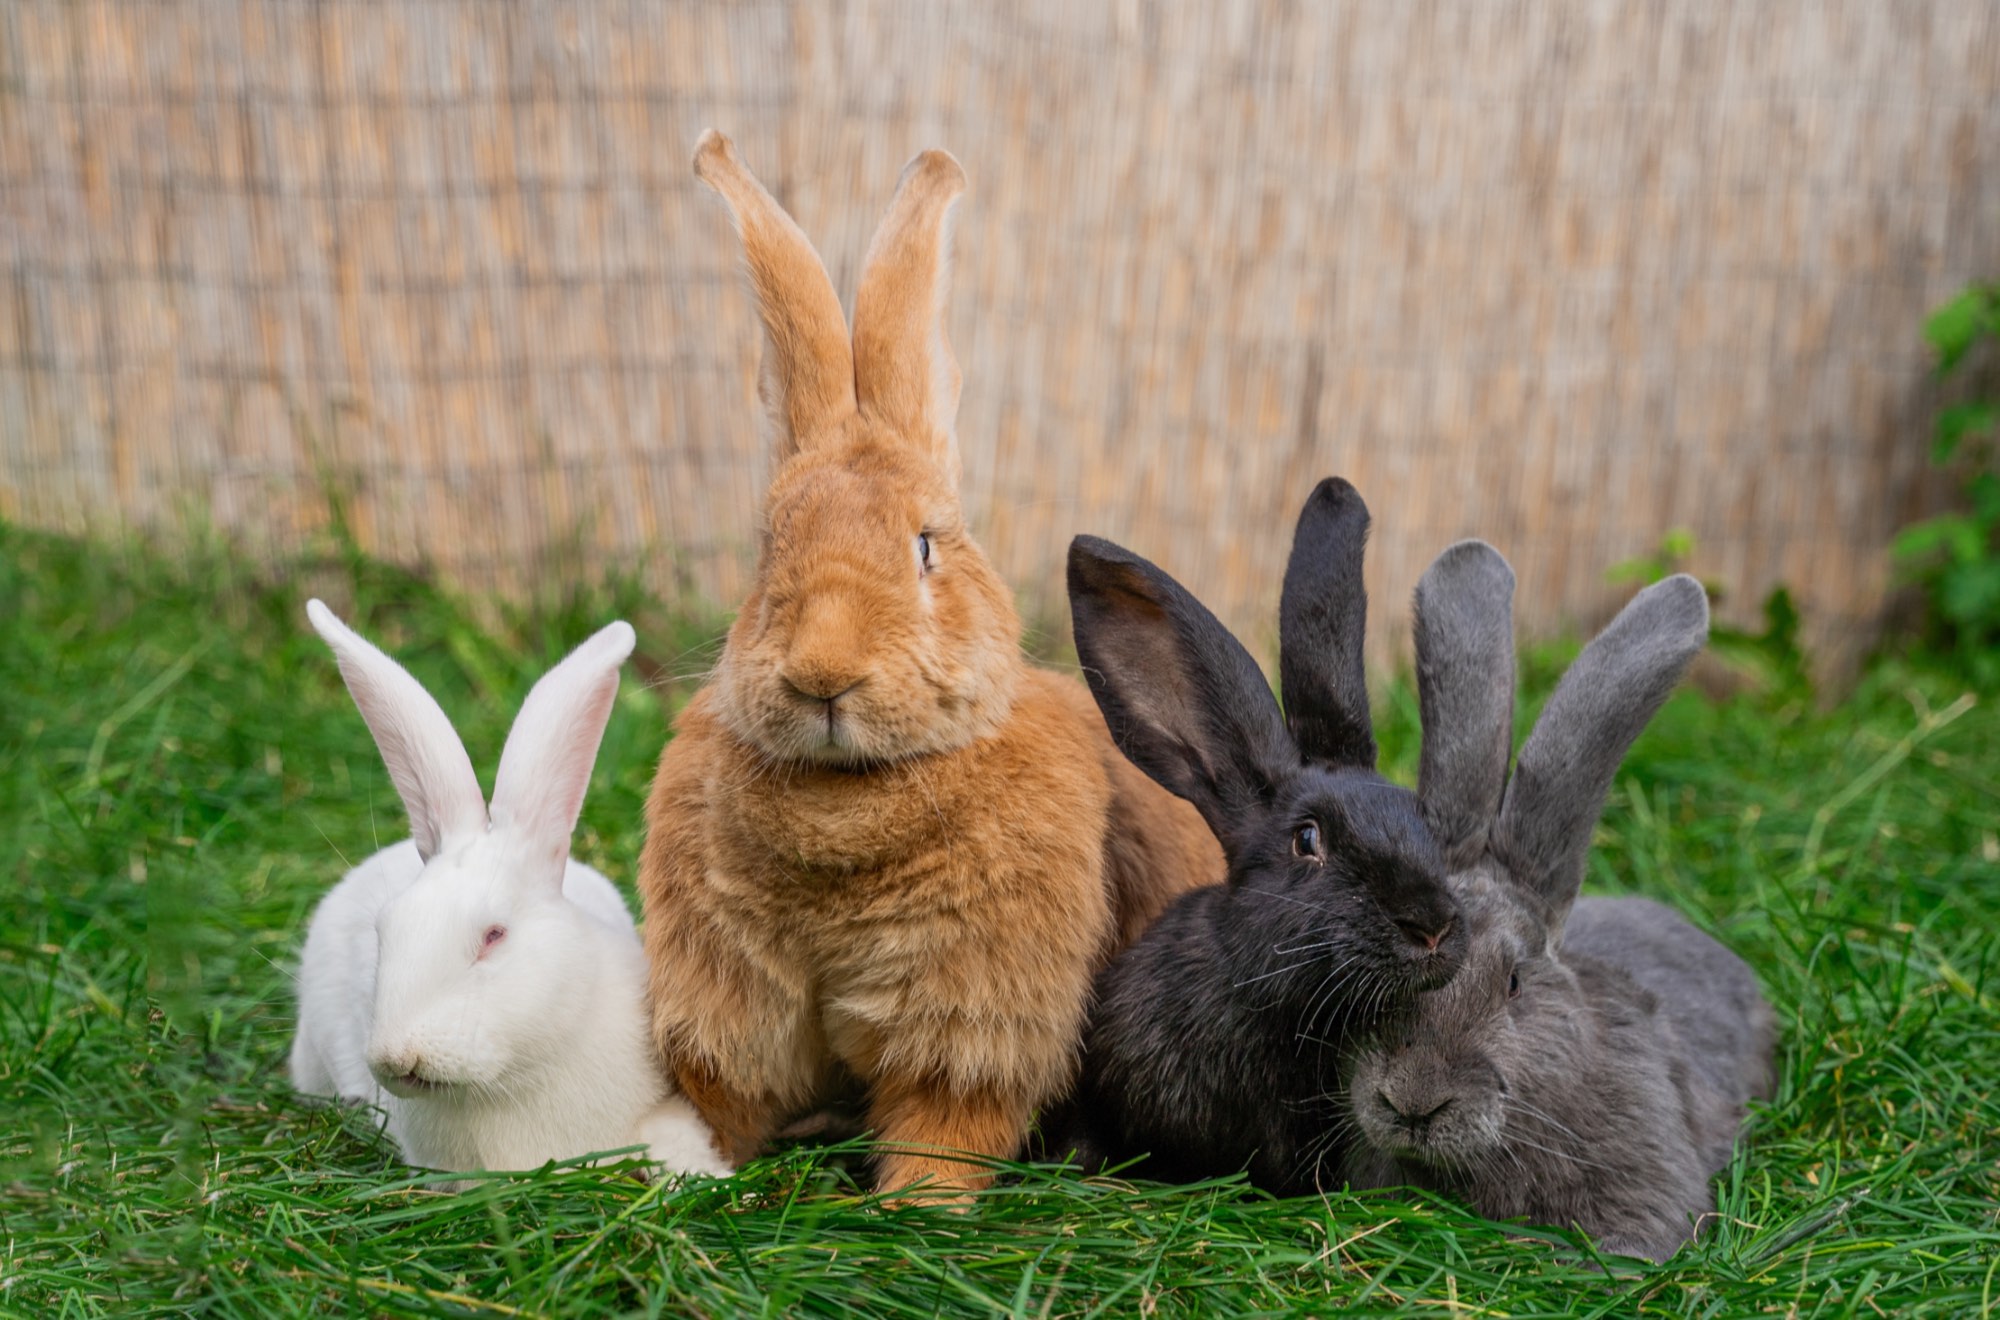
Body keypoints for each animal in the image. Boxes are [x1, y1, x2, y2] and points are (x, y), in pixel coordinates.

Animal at [637, 131, 1222, 1197]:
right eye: (770, 547)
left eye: (924, 547)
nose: (824, 673)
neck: (851, 794)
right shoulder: (733, 1003)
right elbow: (724, 1100)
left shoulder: (969, 1022)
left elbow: (944, 1122)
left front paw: (919, 1206)